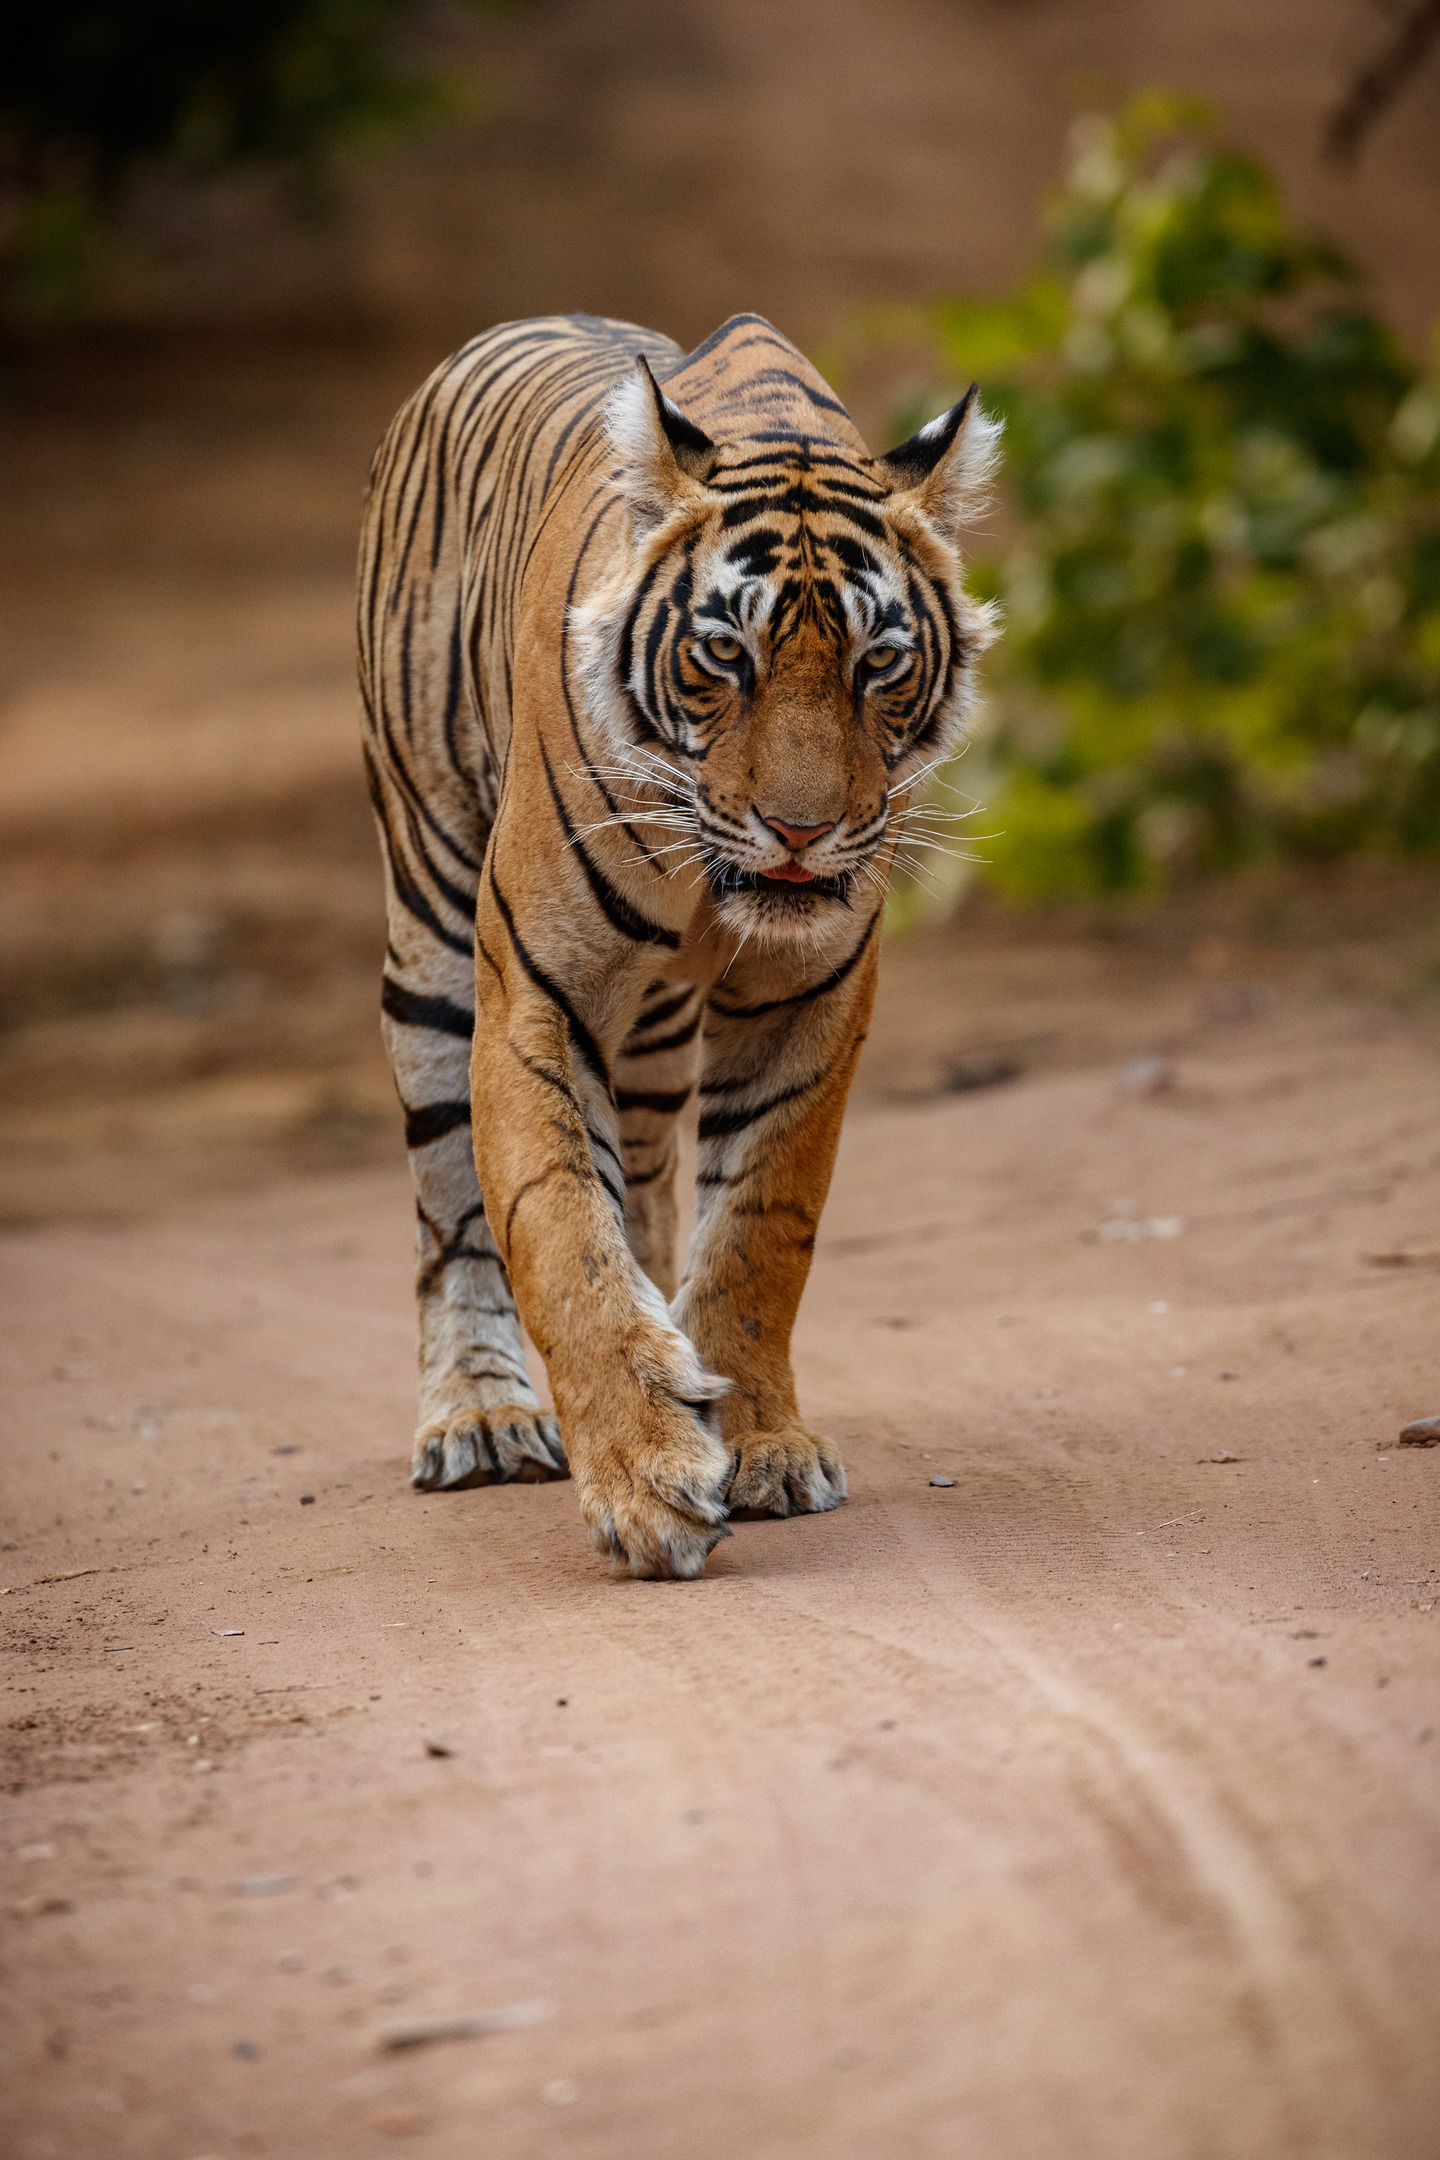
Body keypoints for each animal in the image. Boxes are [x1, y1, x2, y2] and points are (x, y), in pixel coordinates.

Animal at [357, 312, 998, 1579]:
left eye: (878, 663)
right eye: (725, 657)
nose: (800, 830)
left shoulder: (812, 996)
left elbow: (758, 1230)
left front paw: (755, 1441)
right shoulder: (534, 996)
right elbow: (559, 1230)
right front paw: (648, 1478)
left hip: (649, 1035)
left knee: (650, 1181)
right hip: (431, 922)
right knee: (451, 1207)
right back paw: (481, 1417)